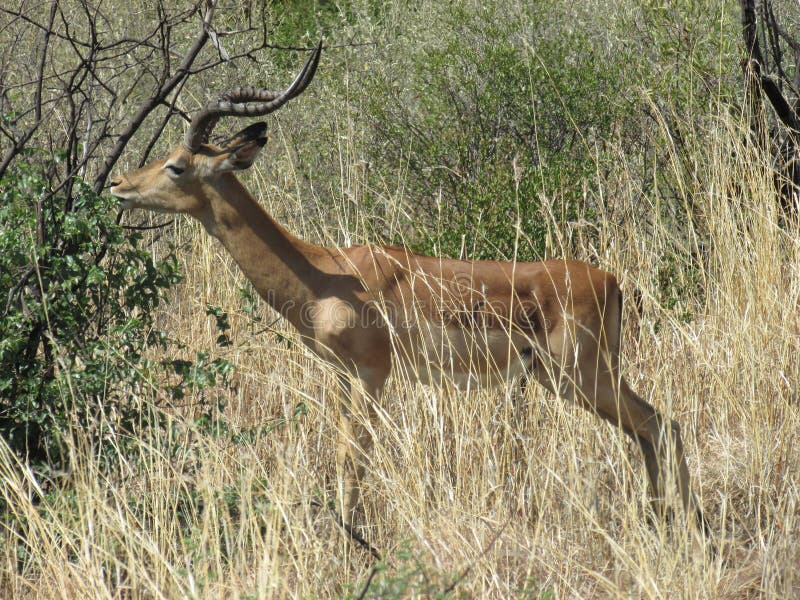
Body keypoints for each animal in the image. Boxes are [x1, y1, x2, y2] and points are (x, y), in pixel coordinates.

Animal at [111, 43, 708, 537]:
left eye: (177, 165)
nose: (118, 184)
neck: (323, 274)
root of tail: (612, 281)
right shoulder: (346, 377)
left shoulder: (373, 374)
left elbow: (354, 459)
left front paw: (352, 539)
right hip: (564, 376)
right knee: (652, 429)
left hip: (580, 373)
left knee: (659, 423)